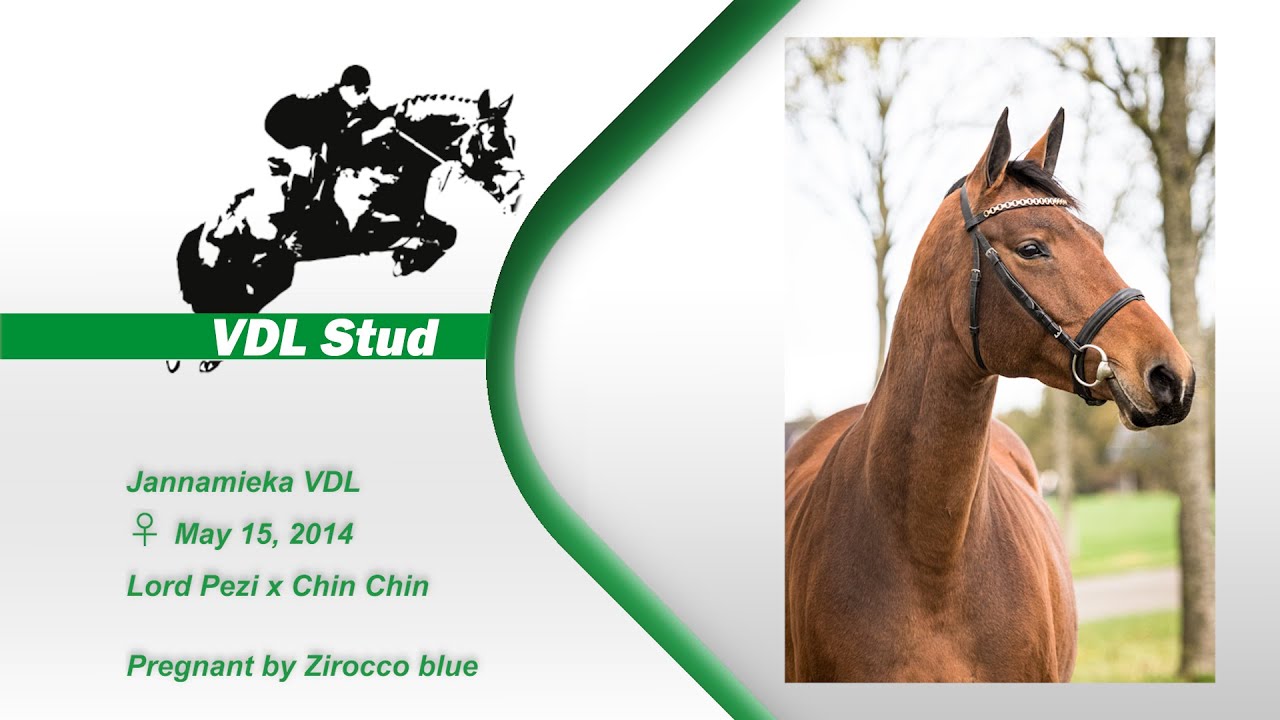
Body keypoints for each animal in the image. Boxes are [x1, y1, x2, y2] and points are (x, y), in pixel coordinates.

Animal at [170, 89, 520, 372]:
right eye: (492, 141)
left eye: (512, 140)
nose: (515, 190)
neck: (392, 159)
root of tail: (202, 228)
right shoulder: (367, 230)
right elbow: (423, 232)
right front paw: (405, 260)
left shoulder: (414, 217)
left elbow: (447, 233)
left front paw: (408, 261)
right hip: (222, 269)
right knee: (210, 305)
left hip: (272, 273)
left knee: (241, 303)